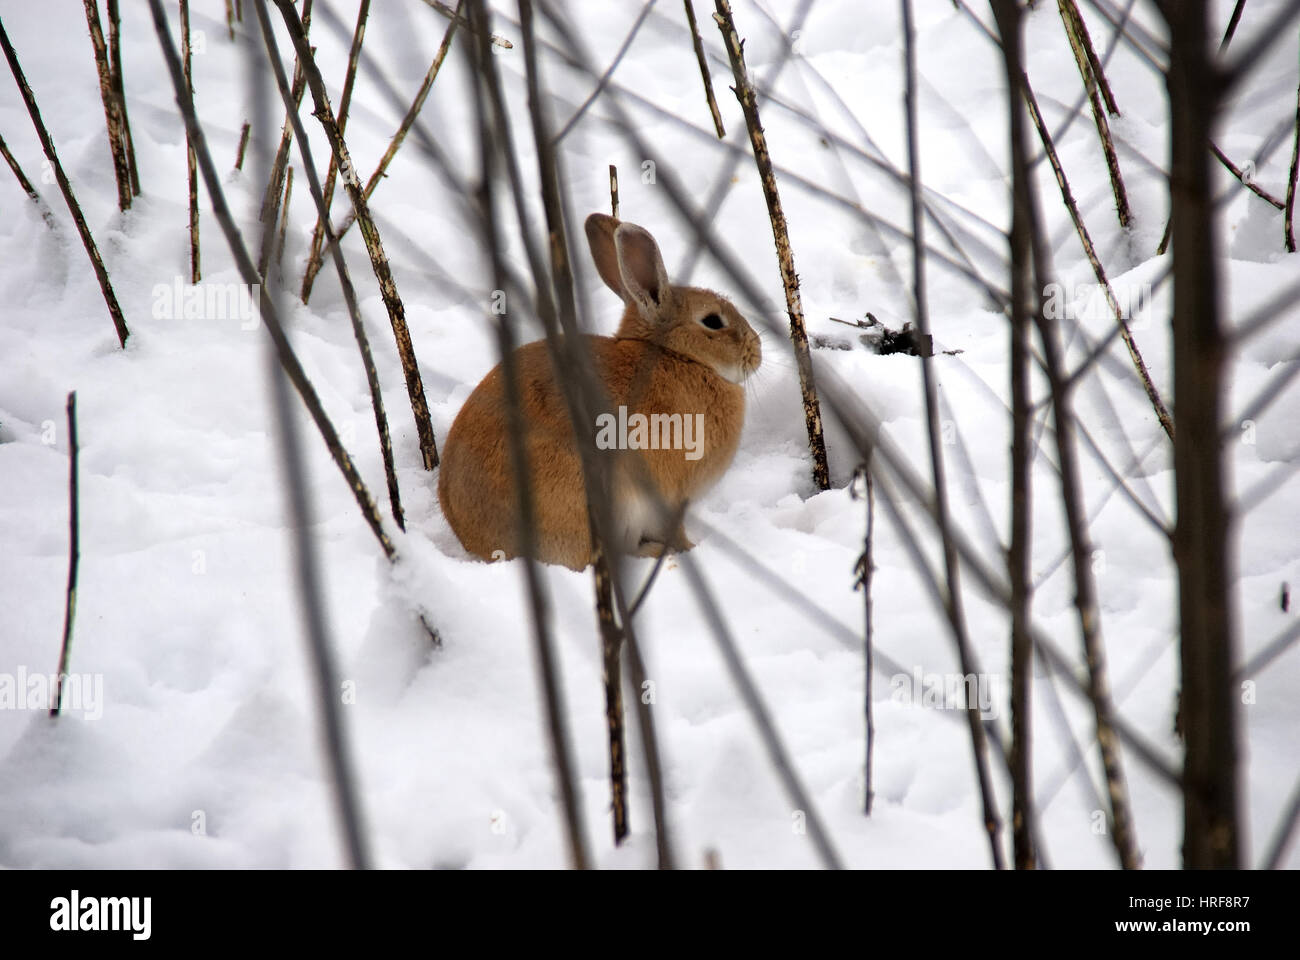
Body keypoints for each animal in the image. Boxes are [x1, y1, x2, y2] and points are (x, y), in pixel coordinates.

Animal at [437, 212, 762, 570]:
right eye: (713, 322)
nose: (757, 350)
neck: (675, 356)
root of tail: (482, 544)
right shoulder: (671, 494)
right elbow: (674, 529)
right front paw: (687, 549)